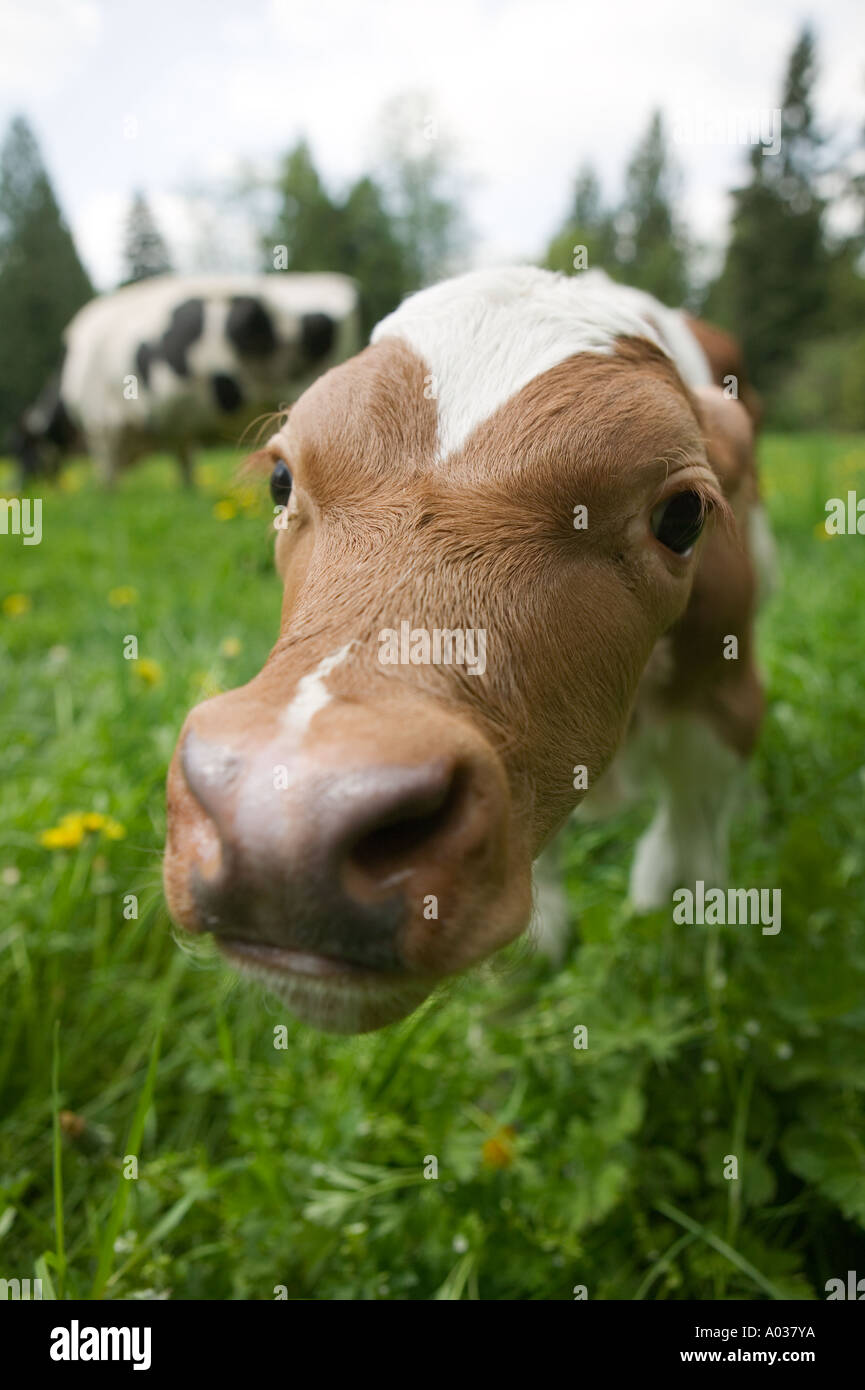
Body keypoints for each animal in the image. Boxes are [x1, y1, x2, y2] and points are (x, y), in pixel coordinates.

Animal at [14, 272, 360, 487]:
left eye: (20, 448)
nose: (17, 486)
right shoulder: (175, 427)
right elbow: (185, 464)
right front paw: (189, 491)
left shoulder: (103, 427)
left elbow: (106, 481)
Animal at [163, 265, 772, 1034]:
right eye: (280, 478)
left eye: (684, 514)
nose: (283, 825)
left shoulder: (727, 698)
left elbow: (691, 840)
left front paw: (677, 925)